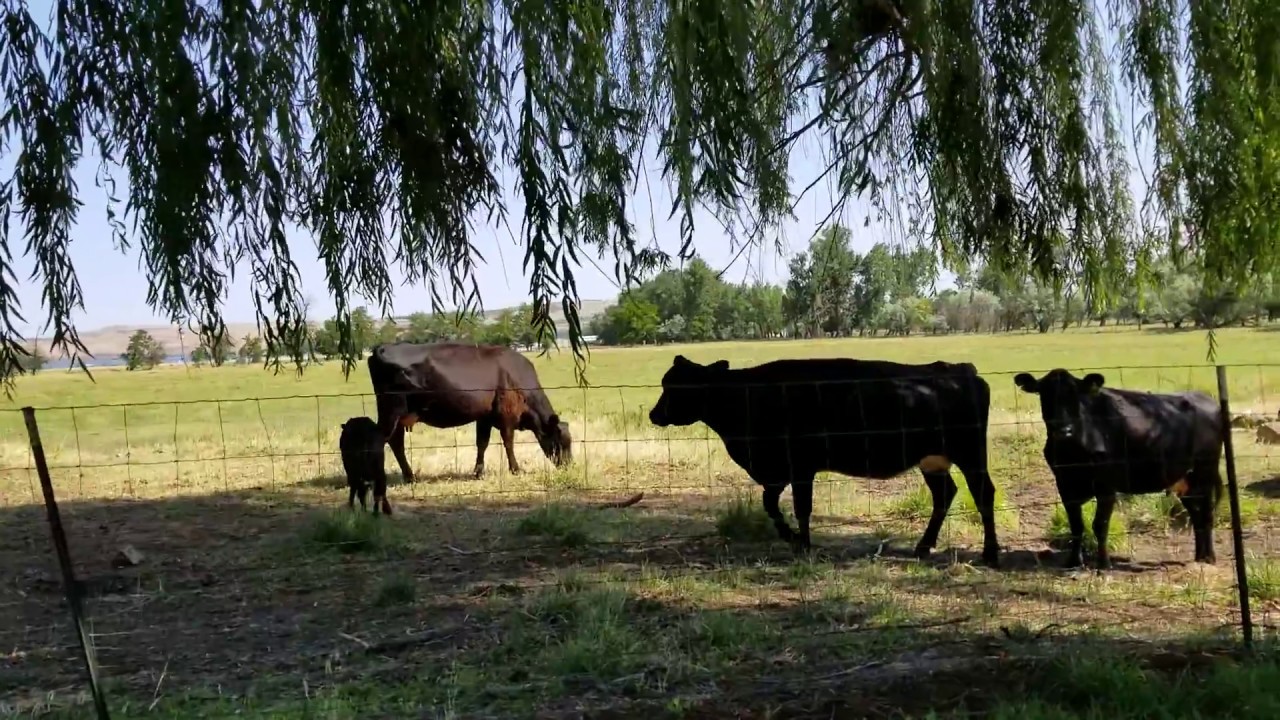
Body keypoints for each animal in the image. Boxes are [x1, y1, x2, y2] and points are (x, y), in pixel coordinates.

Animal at [367, 341, 572, 482]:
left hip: (397, 416)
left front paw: (478, 472)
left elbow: (482, 443)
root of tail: (382, 347)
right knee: (384, 440)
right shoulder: (507, 415)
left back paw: (409, 476)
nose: (569, 465)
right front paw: (515, 469)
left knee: (396, 442)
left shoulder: (484, 417)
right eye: (561, 442)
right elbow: (508, 442)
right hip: (391, 411)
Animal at [648, 355, 1002, 567]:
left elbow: (801, 508)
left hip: (971, 453)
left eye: (675, 387)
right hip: (933, 460)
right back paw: (923, 547)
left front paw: (803, 543)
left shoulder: (800, 466)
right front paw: (792, 538)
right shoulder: (780, 471)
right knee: (945, 495)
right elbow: (770, 504)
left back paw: (990, 553)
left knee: (983, 494)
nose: (653, 414)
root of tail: (959, 369)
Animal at [1013, 369, 1225, 570]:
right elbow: (1076, 525)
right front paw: (1073, 561)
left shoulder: (1106, 484)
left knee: (1207, 513)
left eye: (1076, 396)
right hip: (1184, 480)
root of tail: (1206, 399)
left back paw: (1209, 558)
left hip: (1205, 471)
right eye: (1045, 394)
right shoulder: (1064, 483)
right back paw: (1199, 557)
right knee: (1196, 514)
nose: (1064, 430)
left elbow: (1100, 525)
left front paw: (1103, 564)